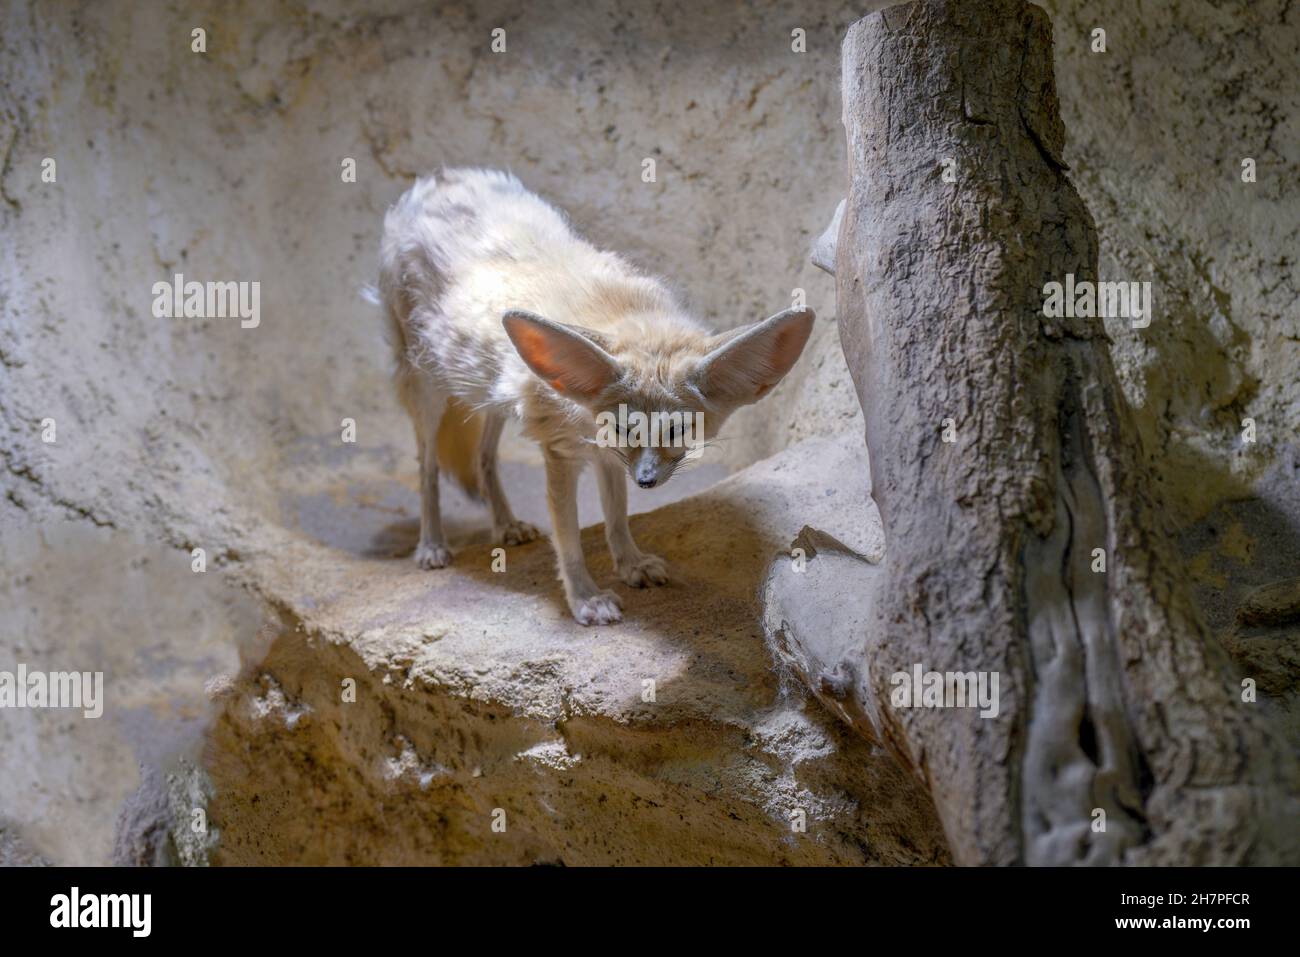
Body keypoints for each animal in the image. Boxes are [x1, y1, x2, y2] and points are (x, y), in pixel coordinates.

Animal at [375, 168, 813, 625]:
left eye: (678, 430)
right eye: (623, 426)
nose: (647, 480)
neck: (627, 312)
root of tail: (444, 176)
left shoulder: (608, 454)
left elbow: (616, 514)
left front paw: (630, 563)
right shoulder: (562, 452)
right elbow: (568, 537)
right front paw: (585, 597)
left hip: (485, 390)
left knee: (484, 457)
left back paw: (506, 524)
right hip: (428, 387)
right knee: (427, 468)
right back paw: (432, 544)